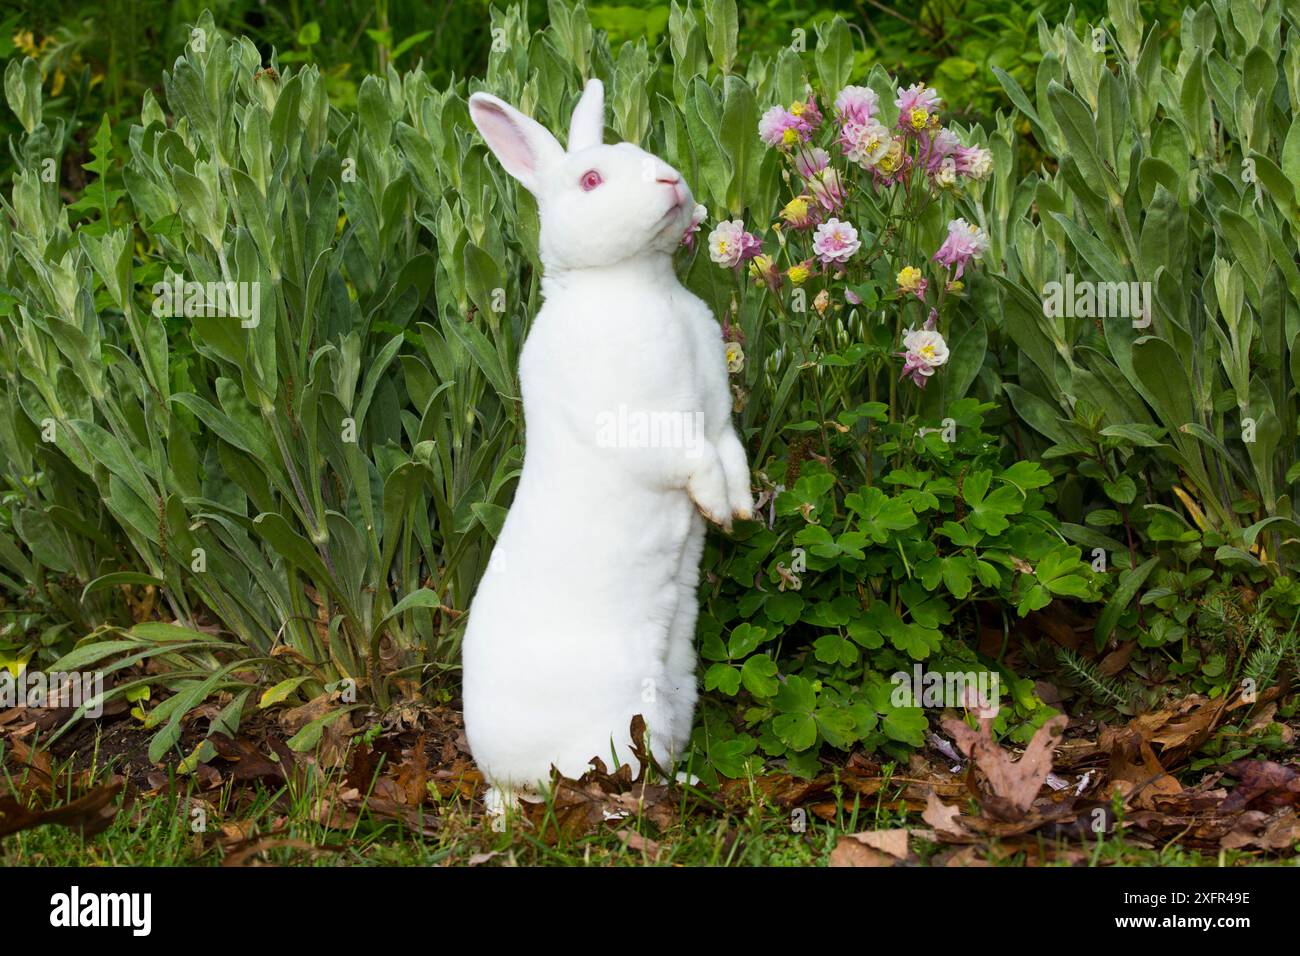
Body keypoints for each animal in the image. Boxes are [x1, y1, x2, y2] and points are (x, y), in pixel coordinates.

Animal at [461, 78, 754, 813]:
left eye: (646, 152)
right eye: (592, 179)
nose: (671, 181)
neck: (639, 280)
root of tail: (498, 775)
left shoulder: (720, 420)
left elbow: (731, 454)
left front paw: (738, 511)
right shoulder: (649, 427)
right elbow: (695, 460)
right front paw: (713, 508)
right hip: (611, 729)